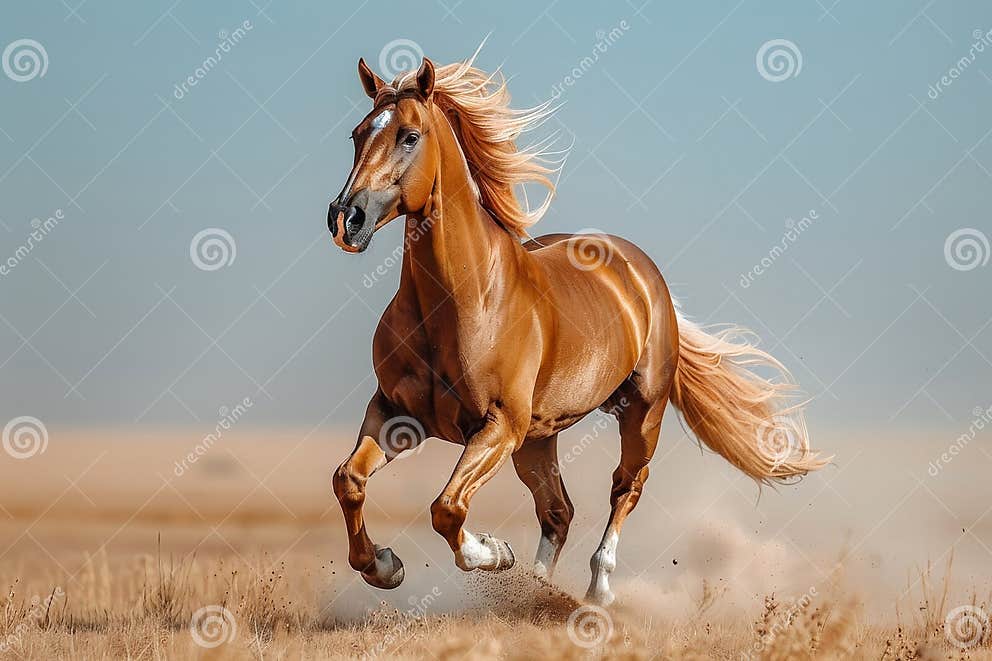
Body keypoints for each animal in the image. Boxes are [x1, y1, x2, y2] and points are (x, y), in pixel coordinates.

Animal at [326, 50, 828, 607]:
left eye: (409, 136)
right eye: (357, 134)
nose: (346, 218)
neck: (460, 303)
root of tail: (642, 273)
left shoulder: (498, 425)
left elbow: (448, 508)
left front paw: (494, 552)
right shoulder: (396, 414)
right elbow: (348, 481)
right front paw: (383, 566)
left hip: (639, 414)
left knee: (624, 487)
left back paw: (597, 589)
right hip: (537, 438)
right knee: (558, 510)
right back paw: (535, 591)